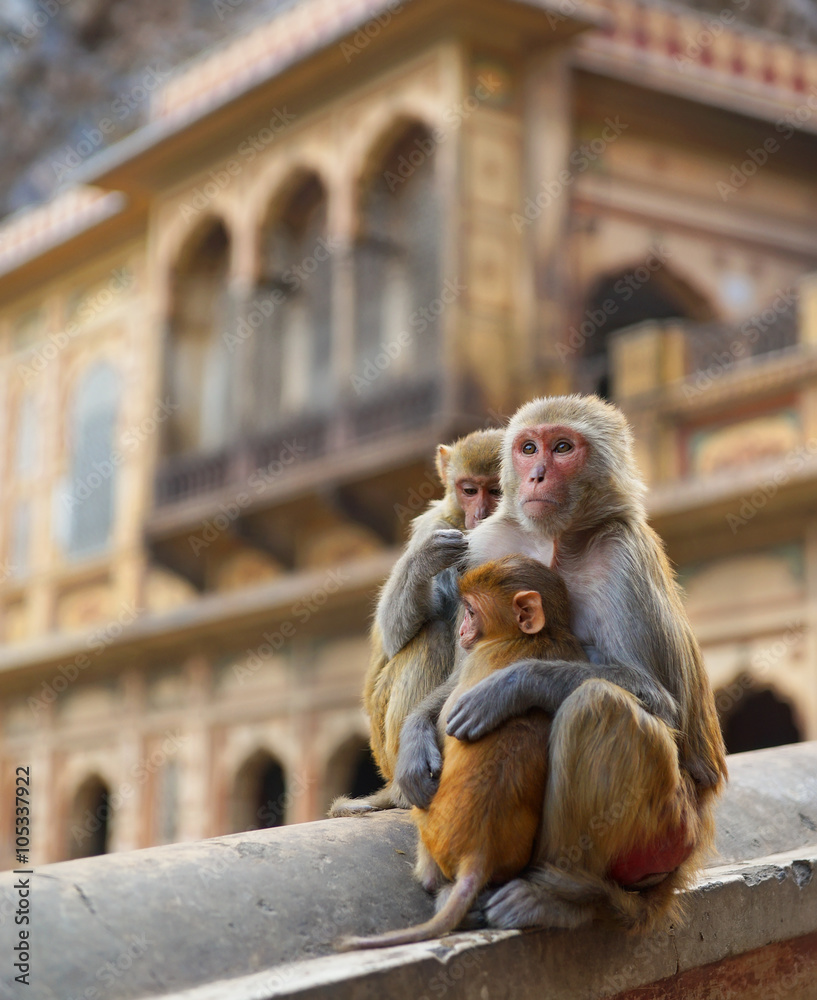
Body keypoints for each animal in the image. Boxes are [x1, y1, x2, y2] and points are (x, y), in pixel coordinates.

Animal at [329, 428, 503, 817]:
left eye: (496, 490)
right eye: (469, 490)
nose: (480, 514)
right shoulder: (434, 525)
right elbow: (394, 635)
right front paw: (426, 558)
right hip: (384, 741)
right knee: (432, 634)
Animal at [338, 556, 589, 949]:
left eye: (471, 610)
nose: (464, 630)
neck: (535, 638)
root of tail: (479, 855)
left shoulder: (478, 657)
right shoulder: (571, 650)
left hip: (430, 828)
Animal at [394, 394, 726, 933]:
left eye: (563, 448)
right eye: (529, 448)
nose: (537, 475)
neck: (556, 541)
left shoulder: (622, 556)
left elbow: (664, 702)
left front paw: (510, 686)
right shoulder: (486, 545)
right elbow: (459, 673)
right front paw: (415, 739)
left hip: (671, 830)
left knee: (598, 705)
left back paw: (558, 895)